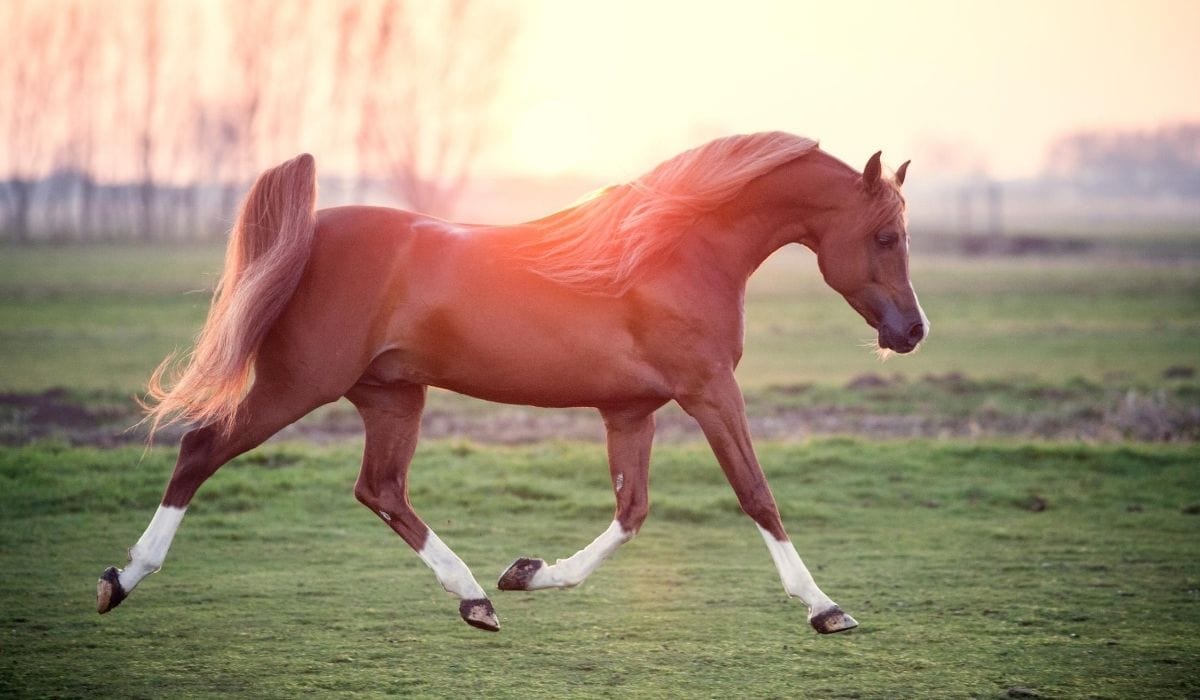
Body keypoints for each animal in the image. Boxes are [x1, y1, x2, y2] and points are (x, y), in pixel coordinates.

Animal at [97, 131, 927, 634]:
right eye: (887, 236)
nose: (912, 332)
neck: (675, 253)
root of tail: (311, 232)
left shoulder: (631, 410)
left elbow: (632, 511)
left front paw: (529, 574)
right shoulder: (709, 392)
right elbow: (756, 494)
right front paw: (825, 607)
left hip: (391, 396)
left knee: (380, 489)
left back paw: (475, 598)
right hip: (298, 384)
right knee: (202, 450)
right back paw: (121, 578)